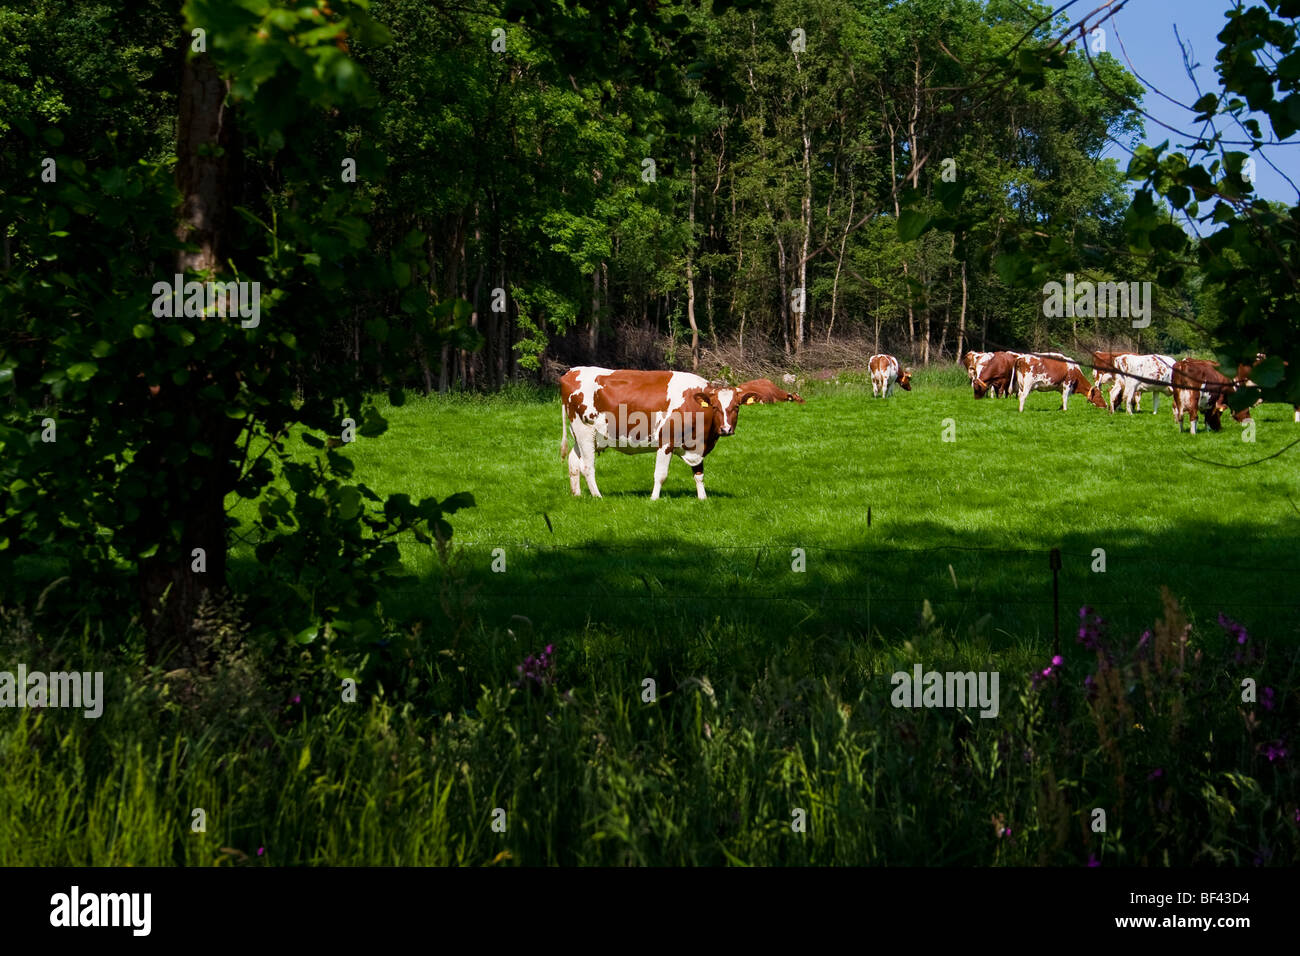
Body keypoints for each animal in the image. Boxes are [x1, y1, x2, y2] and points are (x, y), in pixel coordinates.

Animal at [558, 367, 799, 499]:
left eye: (736, 407)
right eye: (715, 407)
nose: (726, 429)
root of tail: (571, 371)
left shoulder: (698, 445)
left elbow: (699, 474)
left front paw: (703, 499)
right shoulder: (666, 442)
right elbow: (661, 475)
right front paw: (654, 499)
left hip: (583, 436)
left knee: (573, 462)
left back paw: (577, 495)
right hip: (585, 431)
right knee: (587, 466)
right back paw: (598, 496)